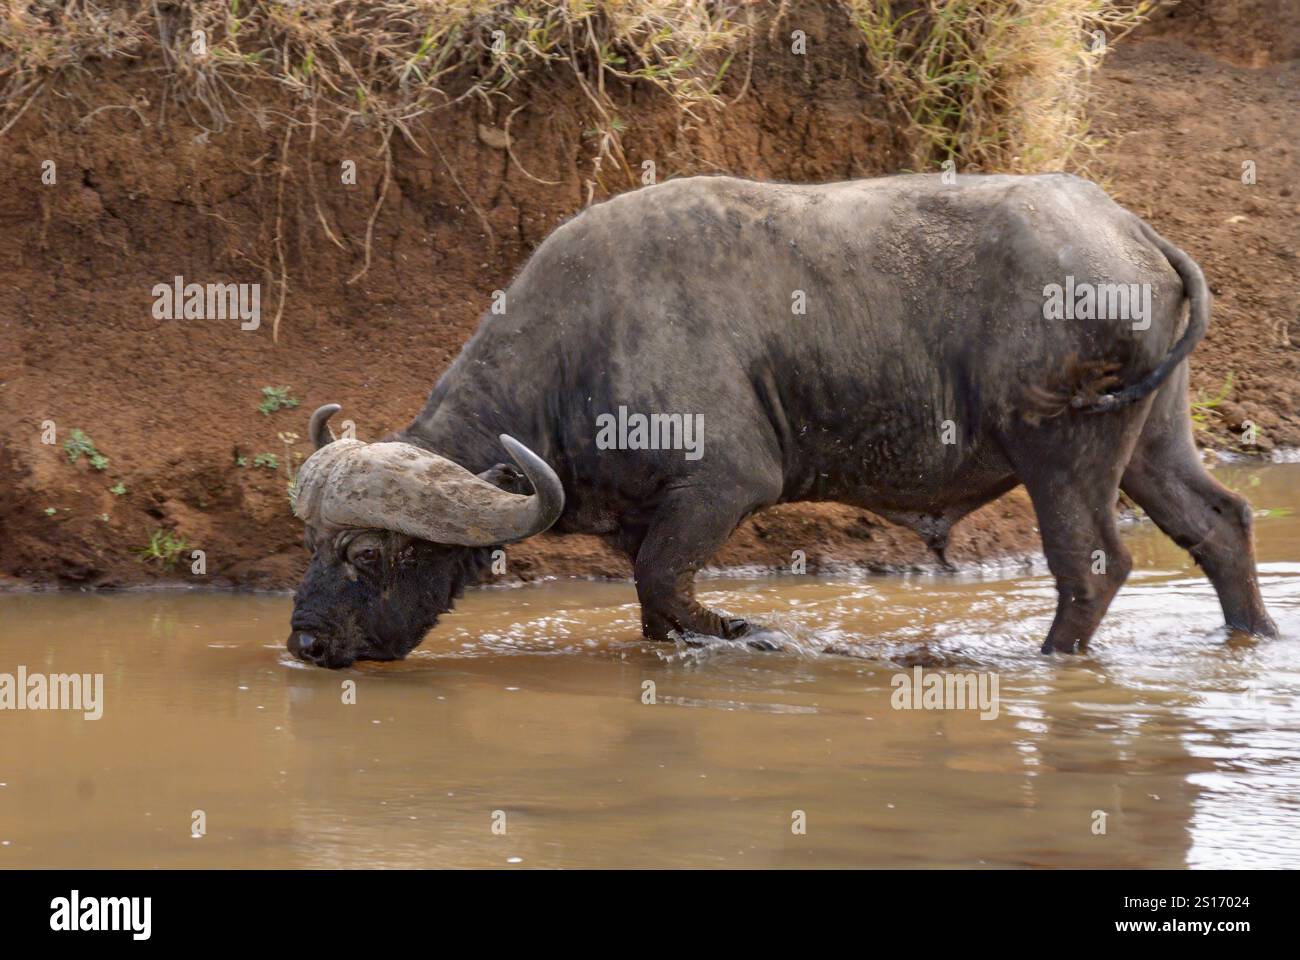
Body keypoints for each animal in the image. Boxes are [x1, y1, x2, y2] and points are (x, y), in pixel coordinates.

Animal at [287, 173, 1276, 668]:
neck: (582, 345)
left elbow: (666, 587)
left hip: (1063, 447)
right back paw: (1253, 635)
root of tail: (1131, 229)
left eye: (366, 553)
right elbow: (656, 604)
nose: (306, 641)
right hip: (1152, 434)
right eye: (312, 547)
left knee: (1092, 565)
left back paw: (1049, 658)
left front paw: (750, 632)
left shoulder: (723, 486)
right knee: (1219, 522)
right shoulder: (648, 519)